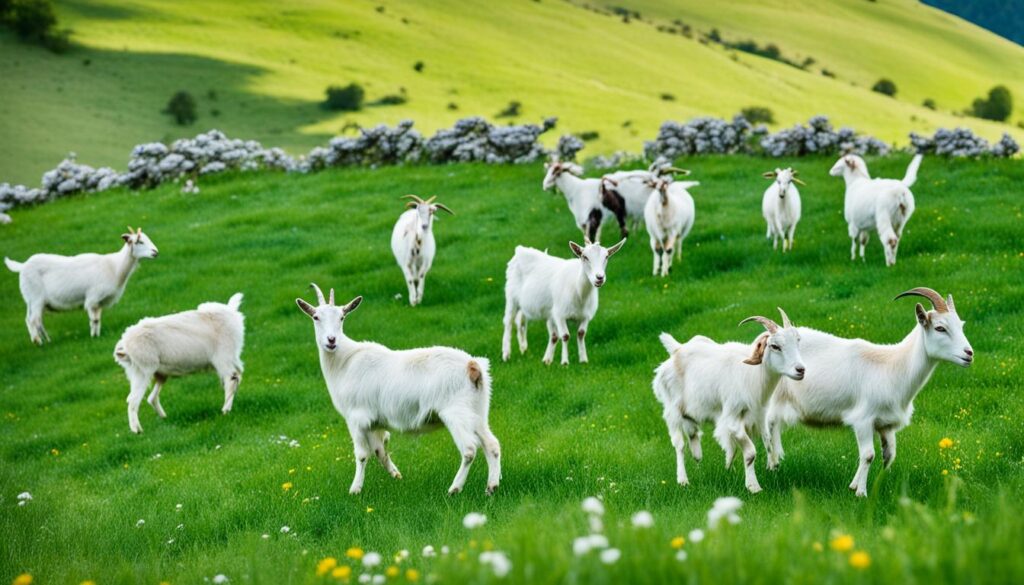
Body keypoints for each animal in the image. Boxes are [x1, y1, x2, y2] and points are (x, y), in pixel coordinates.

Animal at [5, 227, 159, 344]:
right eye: (139, 242)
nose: (155, 252)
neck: (115, 267)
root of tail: (22, 266)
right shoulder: (92, 298)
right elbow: (94, 319)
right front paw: (93, 337)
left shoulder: (99, 302)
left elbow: (97, 320)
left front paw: (97, 335)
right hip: (36, 297)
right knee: (33, 320)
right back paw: (39, 343)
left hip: (31, 299)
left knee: (32, 320)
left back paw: (45, 340)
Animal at [114, 292, 245, 434]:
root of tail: (124, 346)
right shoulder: (223, 357)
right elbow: (232, 380)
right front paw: (226, 411)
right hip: (143, 370)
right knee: (133, 400)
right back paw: (137, 430)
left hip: (154, 372)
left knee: (150, 398)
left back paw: (162, 417)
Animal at [296, 284, 501, 495]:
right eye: (316, 317)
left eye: (342, 317)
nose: (331, 340)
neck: (345, 361)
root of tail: (472, 365)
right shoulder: (374, 422)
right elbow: (379, 450)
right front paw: (396, 475)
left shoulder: (357, 417)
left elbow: (362, 454)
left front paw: (355, 489)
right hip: (478, 409)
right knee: (492, 445)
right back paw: (491, 487)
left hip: (455, 412)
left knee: (469, 449)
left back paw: (455, 488)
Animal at [653, 309, 805, 493]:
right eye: (775, 346)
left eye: (798, 341)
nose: (800, 370)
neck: (753, 374)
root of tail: (677, 349)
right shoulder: (732, 418)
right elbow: (750, 453)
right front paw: (753, 486)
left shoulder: (758, 416)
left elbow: (766, 441)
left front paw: (770, 466)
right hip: (672, 409)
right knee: (679, 444)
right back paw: (683, 480)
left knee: (693, 432)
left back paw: (698, 457)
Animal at [764, 287, 973, 496]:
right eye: (940, 328)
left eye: (961, 325)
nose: (969, 353)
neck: (893, 367)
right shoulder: (863, 419)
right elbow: (868, 455)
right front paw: (861, 492)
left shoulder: (886, 424)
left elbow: (889, 456)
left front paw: (866, 485)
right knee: (769, 424)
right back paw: (772, 464)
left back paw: (778, 458)